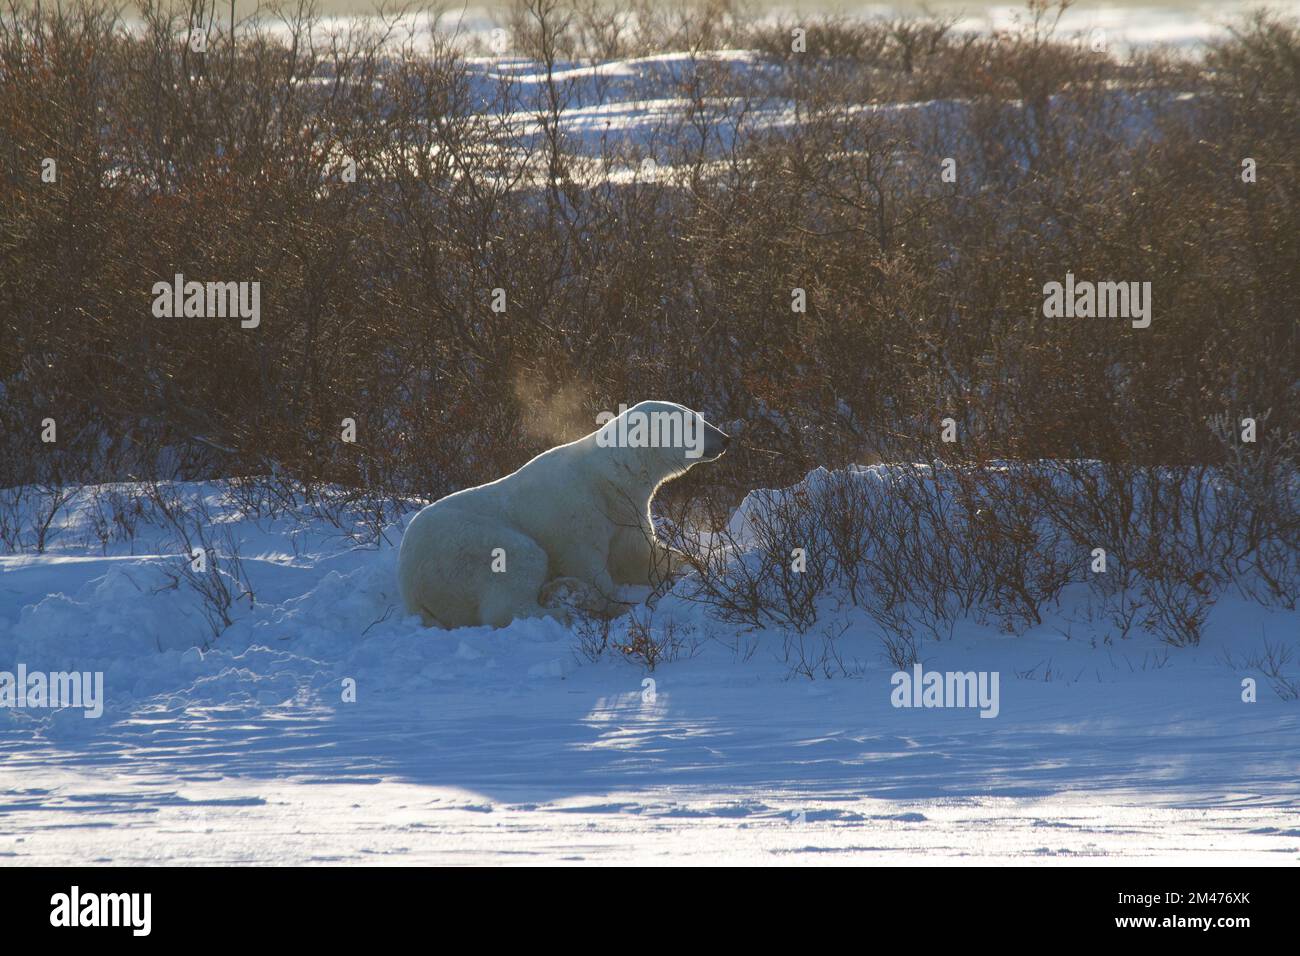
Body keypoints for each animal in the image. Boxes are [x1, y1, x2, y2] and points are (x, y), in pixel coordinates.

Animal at [397, 401, 730, 629]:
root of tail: (412, 591)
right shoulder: (578, 513)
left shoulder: (625, 510)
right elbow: (589, 562)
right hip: (466, 548)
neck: (610, 476)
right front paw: (618, 605)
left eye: (697, 416)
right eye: (692, 422)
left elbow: (642, 556)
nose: (725, 438)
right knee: (515, 569)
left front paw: (702, 565)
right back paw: (565, 608)